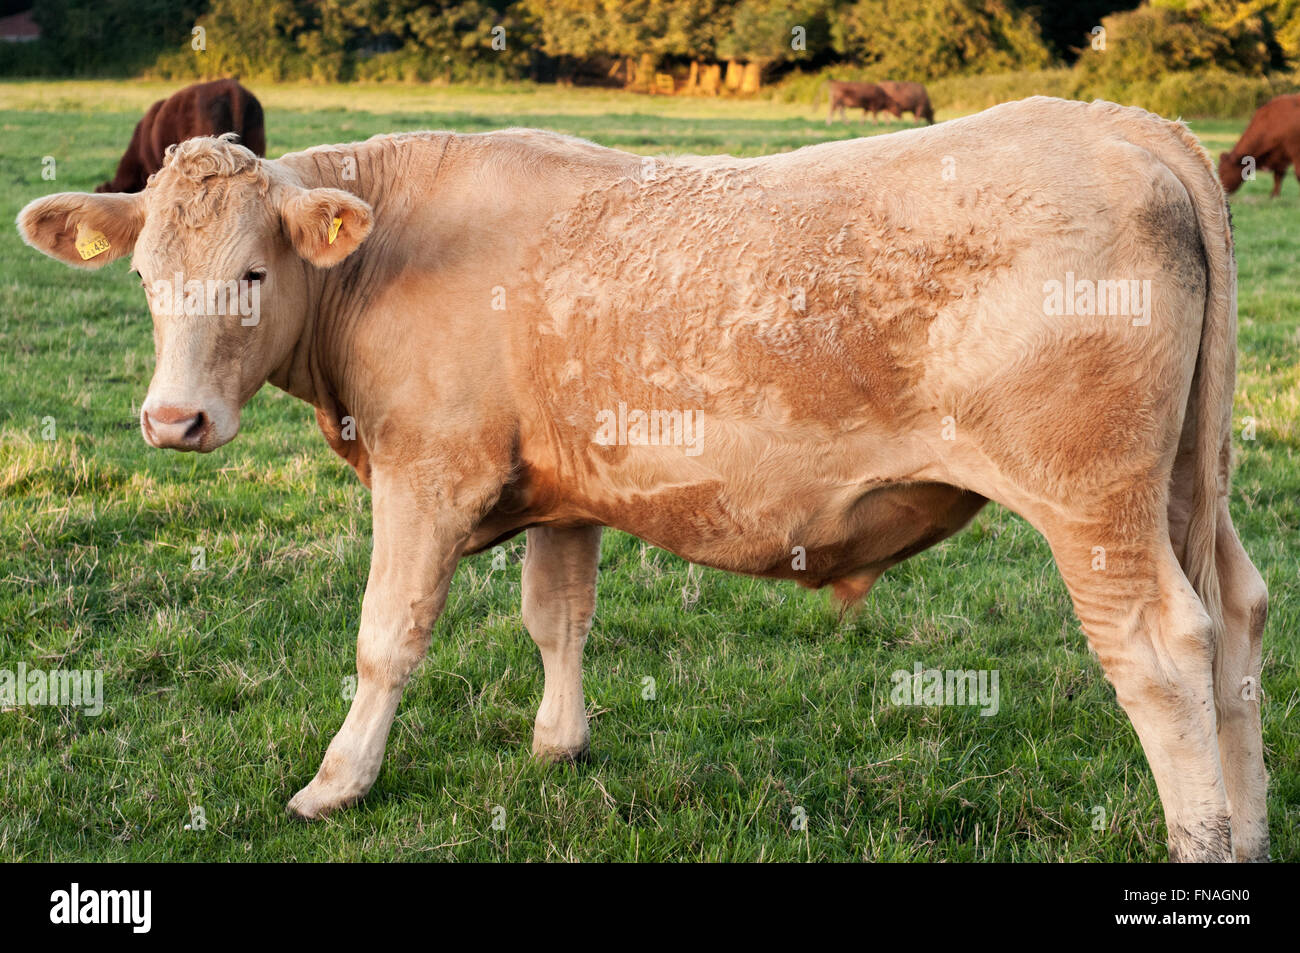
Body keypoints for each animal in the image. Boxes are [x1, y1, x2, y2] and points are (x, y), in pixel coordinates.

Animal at [17, 96, 1268, 862]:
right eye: (143, 276)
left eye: (253, 270)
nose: (172, 420)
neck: (387, 251)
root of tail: (1118, 127)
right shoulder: (564, 489)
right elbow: (558, 615)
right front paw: (559, 744)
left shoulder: (425, 476)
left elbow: (386, 636)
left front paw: (338, 781)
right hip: (1182, 489)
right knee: (1241, 621)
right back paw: (1247, 827)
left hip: (1093, 500)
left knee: (1165, 651)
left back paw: (1199, 836)